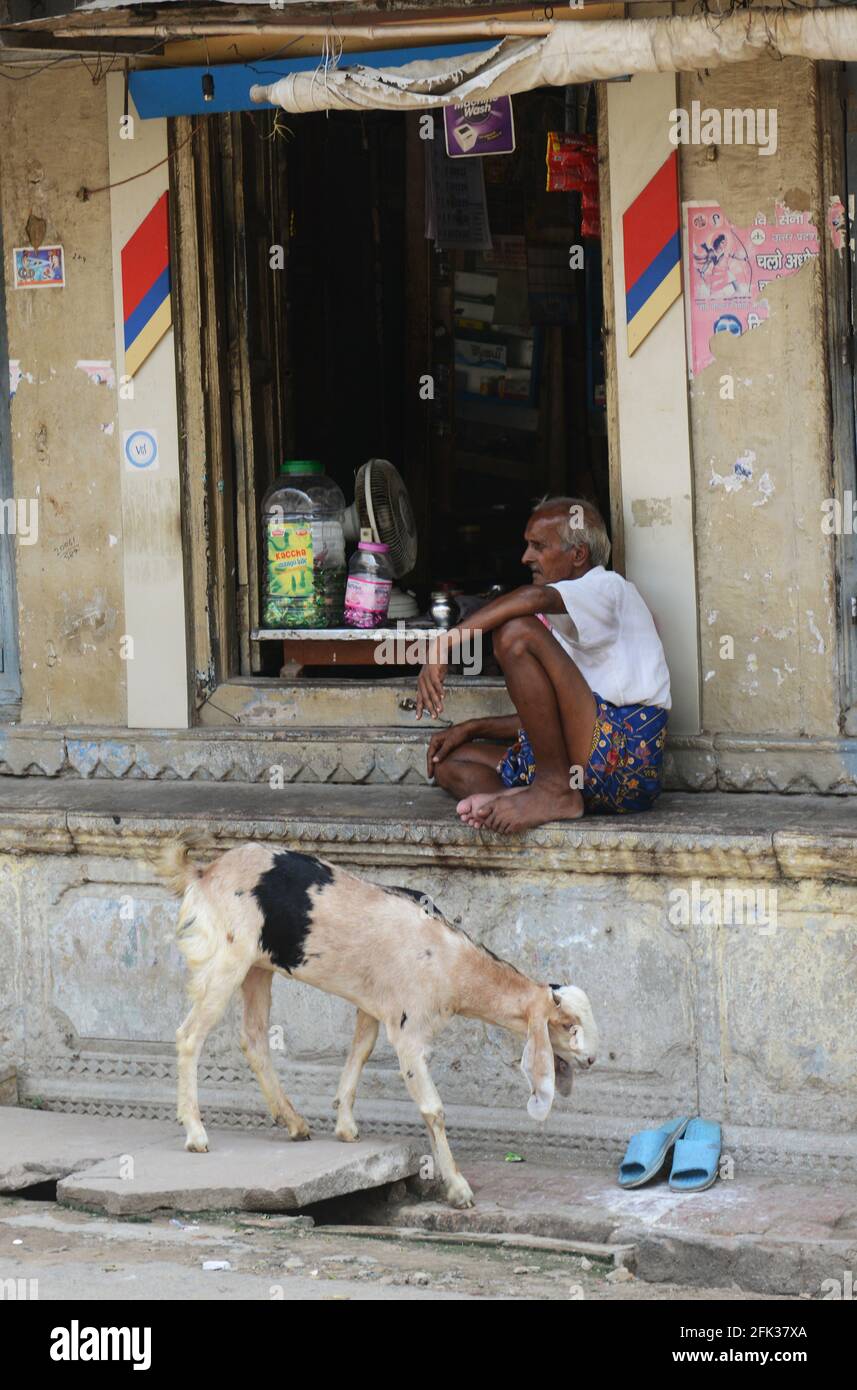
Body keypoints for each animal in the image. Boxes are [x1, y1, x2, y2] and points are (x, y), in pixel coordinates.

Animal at [151, 837, 599, 1209]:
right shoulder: (410, 1032)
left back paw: (294, 1122)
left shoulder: (373, 1003)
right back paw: (196, 1134)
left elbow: (361, 1051)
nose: (593, 1060)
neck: (450, 962)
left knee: (254, 1037)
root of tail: (204, 872)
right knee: (189, 1035)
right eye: (567, 1025)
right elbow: (433, 1109)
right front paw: (458, 1189)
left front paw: (345, 1125)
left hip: (258, 966)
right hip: (225, 959)